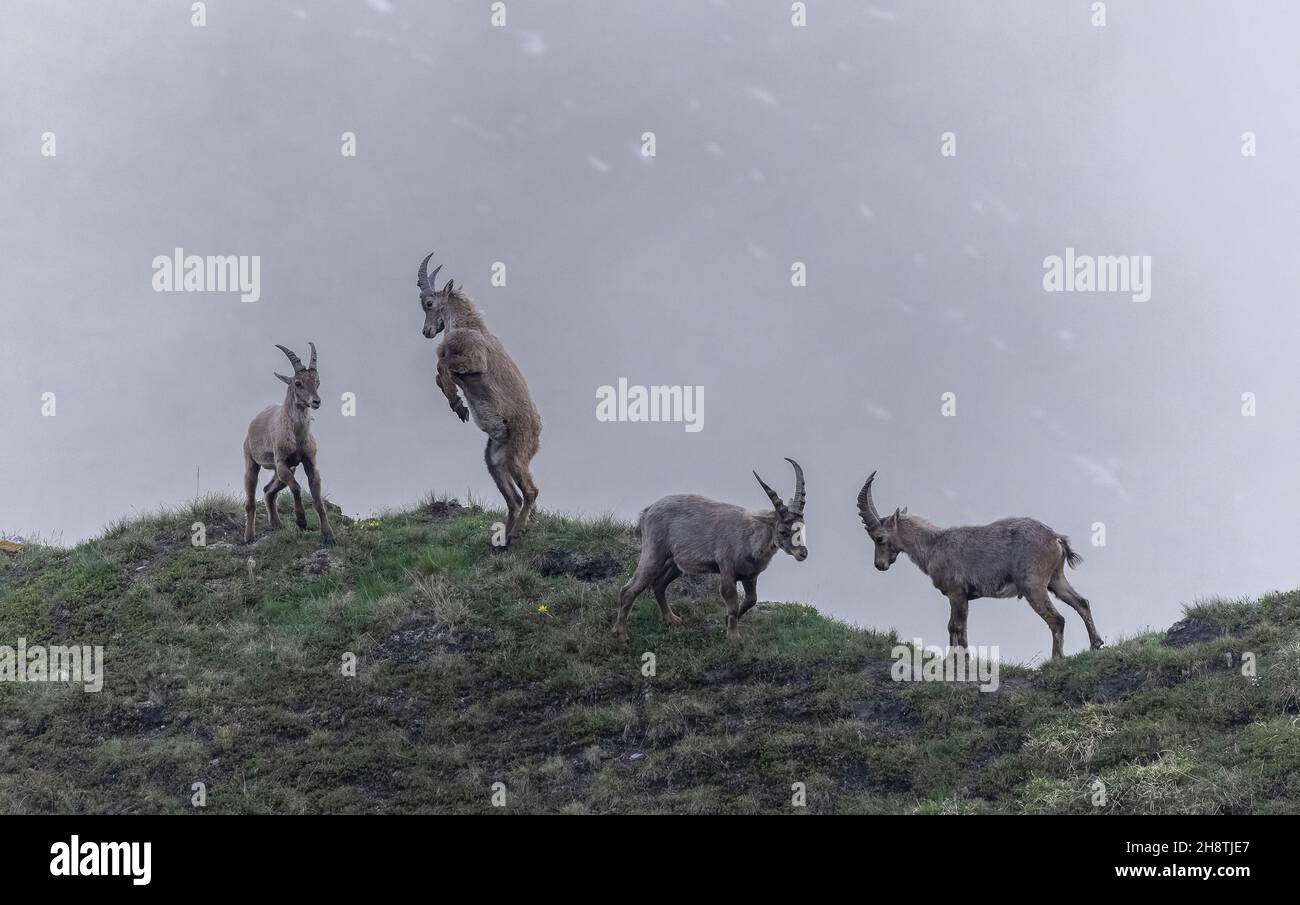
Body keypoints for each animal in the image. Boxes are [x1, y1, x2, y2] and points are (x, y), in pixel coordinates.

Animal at [242, 343, 335, 546]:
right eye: (298, 383)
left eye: (317, 381)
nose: (316, 401)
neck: (298, 437)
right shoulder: (281, 462)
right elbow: (297, 487)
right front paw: (301, 521)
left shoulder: (309, 463)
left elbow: (318, 501)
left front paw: (329, 535)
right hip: (252, 462)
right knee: (251, 500)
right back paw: (249, 536)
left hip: (285, 469)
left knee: (268, 491)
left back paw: (277, 524)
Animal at [416, 252, 542, 545]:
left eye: (429, 303)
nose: (427, 332)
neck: (468, 326)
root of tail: (538, 433)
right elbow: (439, 373)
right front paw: (459, 406)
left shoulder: (474, 359)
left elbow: (442, 365)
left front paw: (457, 403)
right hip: (495, 460)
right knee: (514, 498)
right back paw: (502, 539)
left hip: (517, 454)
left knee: (530, 492)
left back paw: (517, 532)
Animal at [615, 459, 808, 642]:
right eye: (782, 531)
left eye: (801, 528)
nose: (803, 554)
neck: (749, 537)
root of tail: (647, 511)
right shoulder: (727, 569)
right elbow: (731, 603)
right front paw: (733, 638)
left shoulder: (750, 576)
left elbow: (751, 600)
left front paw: (727, 621)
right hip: (654, 553)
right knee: (629, 589)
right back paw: (621, 634)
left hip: (675, 564)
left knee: (658, 585)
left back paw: (671, 619)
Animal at [856, 472, 1102, 659]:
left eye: (879, 538)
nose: (879, 565)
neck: (934, 544)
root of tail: (1056, 538)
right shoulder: (959, 595)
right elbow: (951, 626)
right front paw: (951, 659)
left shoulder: (957, 592)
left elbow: (958, 626)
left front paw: (964, 659)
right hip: (1055, 579)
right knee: (1082, 602)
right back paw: (1095, 644)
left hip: (1033, 584)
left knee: (1057, 619)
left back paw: (1056, 659)